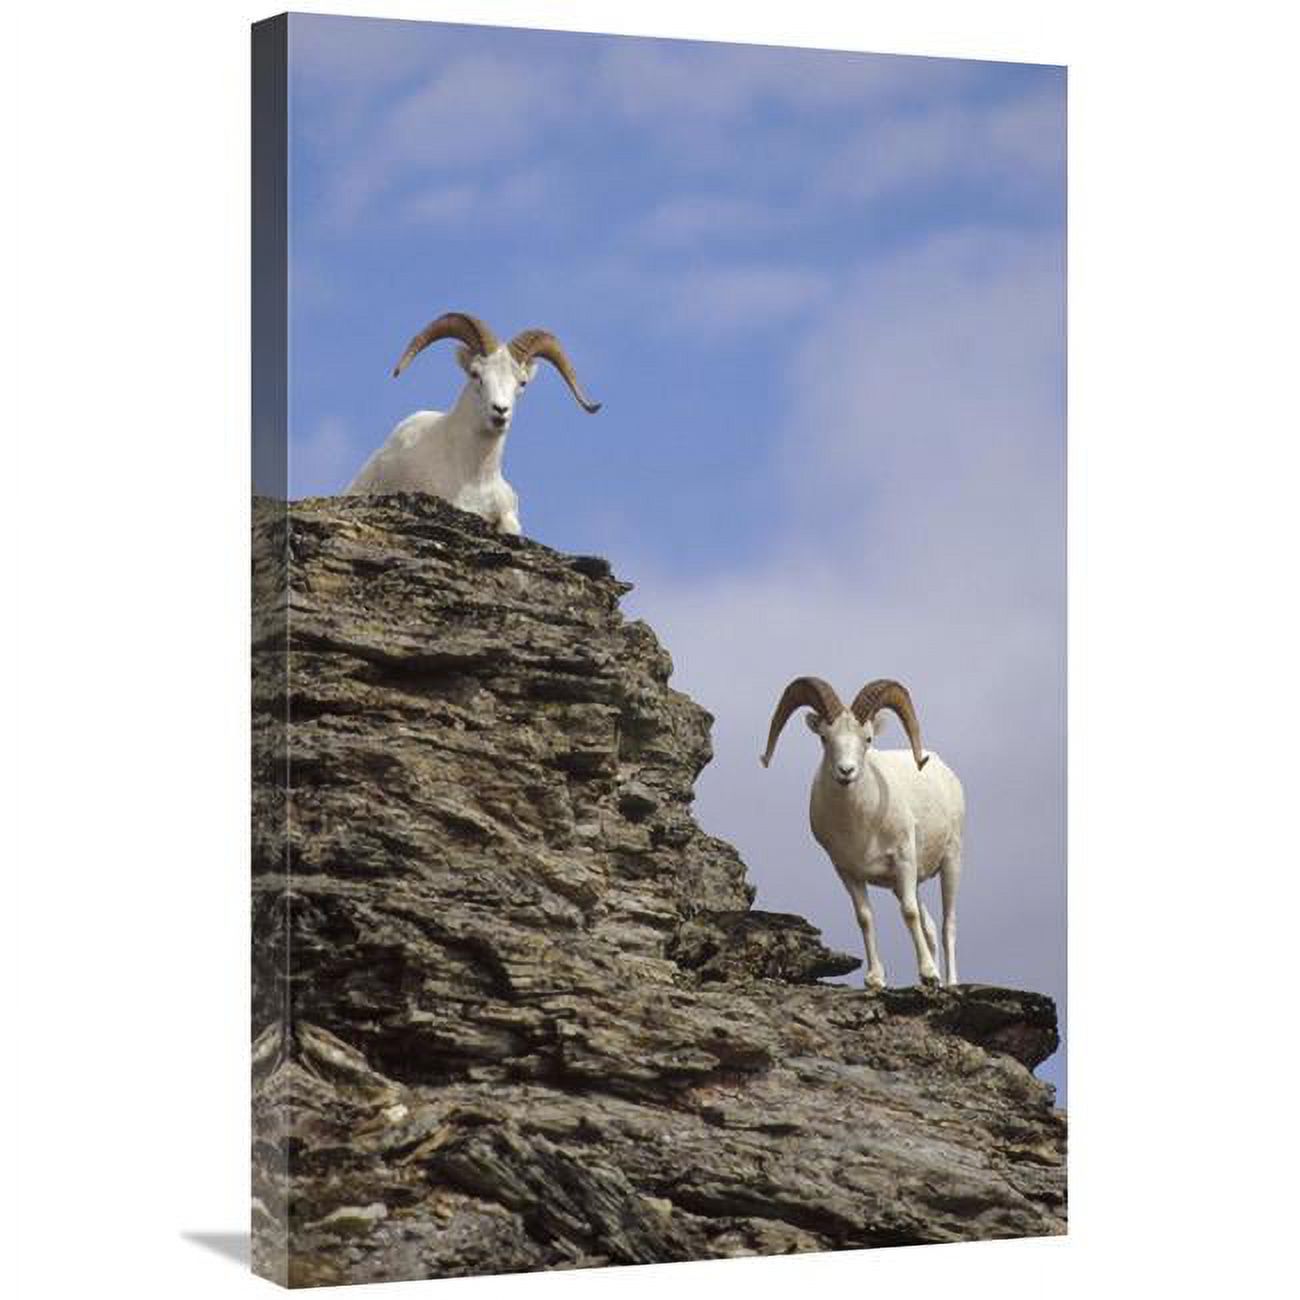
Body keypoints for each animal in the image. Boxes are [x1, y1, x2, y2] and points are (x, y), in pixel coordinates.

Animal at [760, 676, 965, 989]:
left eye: (867, 739)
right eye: (825, 738)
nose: (846, 771)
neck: (861, 827)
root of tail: (945, 771)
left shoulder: (904, 860)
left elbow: (908, 913)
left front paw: (928, 974)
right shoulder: (848, 872)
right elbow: (865, 918)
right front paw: (875, 979)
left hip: (951, 861)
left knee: (947, 925)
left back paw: (949, 983)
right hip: (903, 883)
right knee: (929, 926)